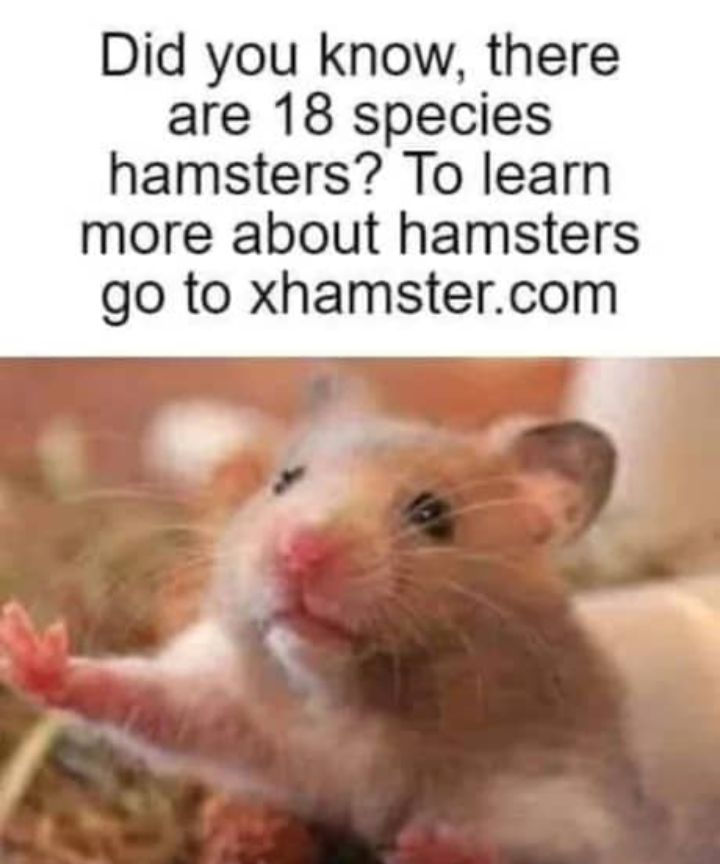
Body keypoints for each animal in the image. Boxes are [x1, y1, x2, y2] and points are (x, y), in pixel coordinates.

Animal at [0, 378, 659, 864]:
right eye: (284, 481)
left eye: (433, 514)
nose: (299, 550)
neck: (352, 700)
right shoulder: (249, 720)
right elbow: (147, 698)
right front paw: (28, 648)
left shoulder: (569, 796)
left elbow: (547, 846)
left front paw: (426, 847)